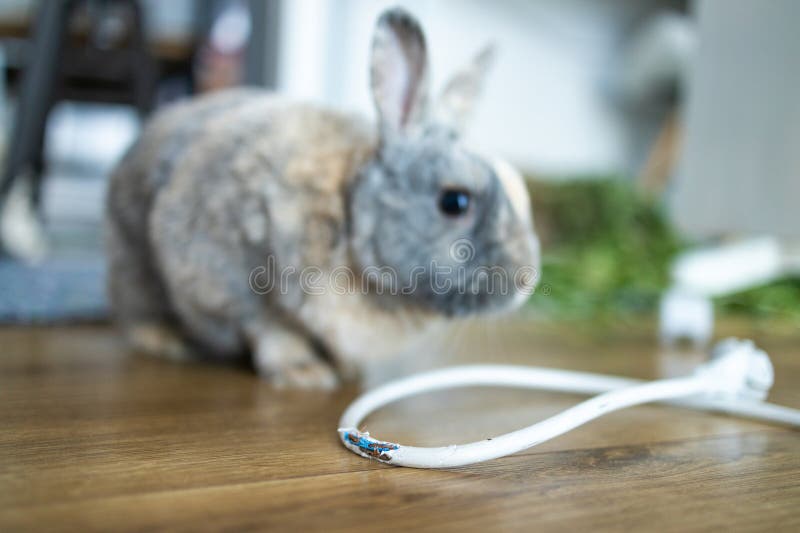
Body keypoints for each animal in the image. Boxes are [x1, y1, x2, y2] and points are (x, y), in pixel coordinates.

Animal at [105, 7, 540, 389]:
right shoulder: (230, 273)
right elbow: (267, 328)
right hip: (136, 269)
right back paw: (167, 340)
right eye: (455, 202)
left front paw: (346, 370)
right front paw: (303, 373)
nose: (526, 281)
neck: (348, 219)